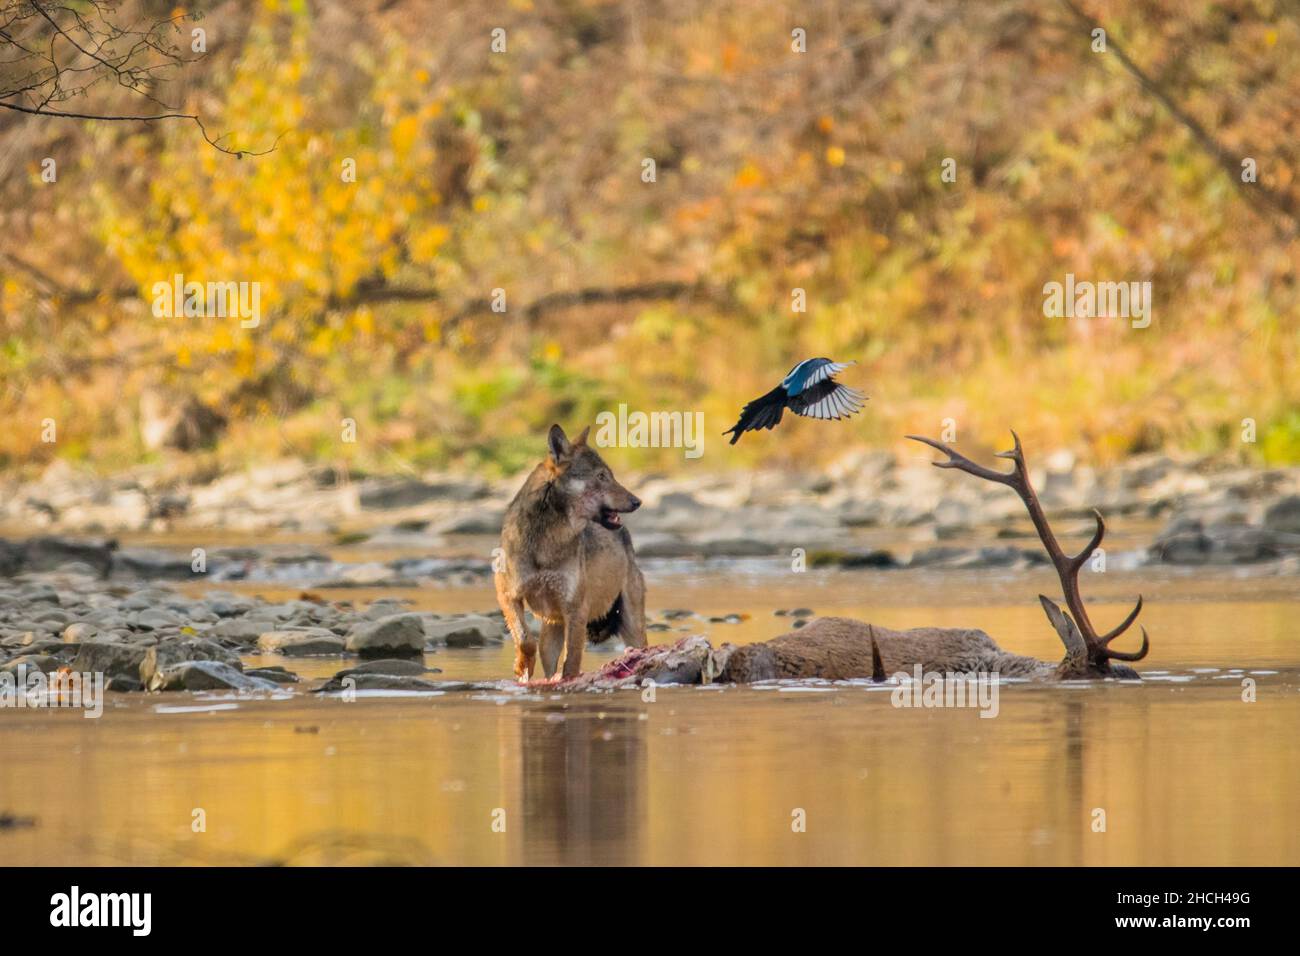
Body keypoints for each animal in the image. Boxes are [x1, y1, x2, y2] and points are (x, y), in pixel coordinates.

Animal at [495, 424, 647, 681]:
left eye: (610, 475)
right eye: (601, 476)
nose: (637, 501)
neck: (547, 541)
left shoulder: (577, 611)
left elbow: (572, 661)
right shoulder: (507, 594)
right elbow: (525, 638)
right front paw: (522, 667)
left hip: (632, 627)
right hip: (551, 631)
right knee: (547, 659)